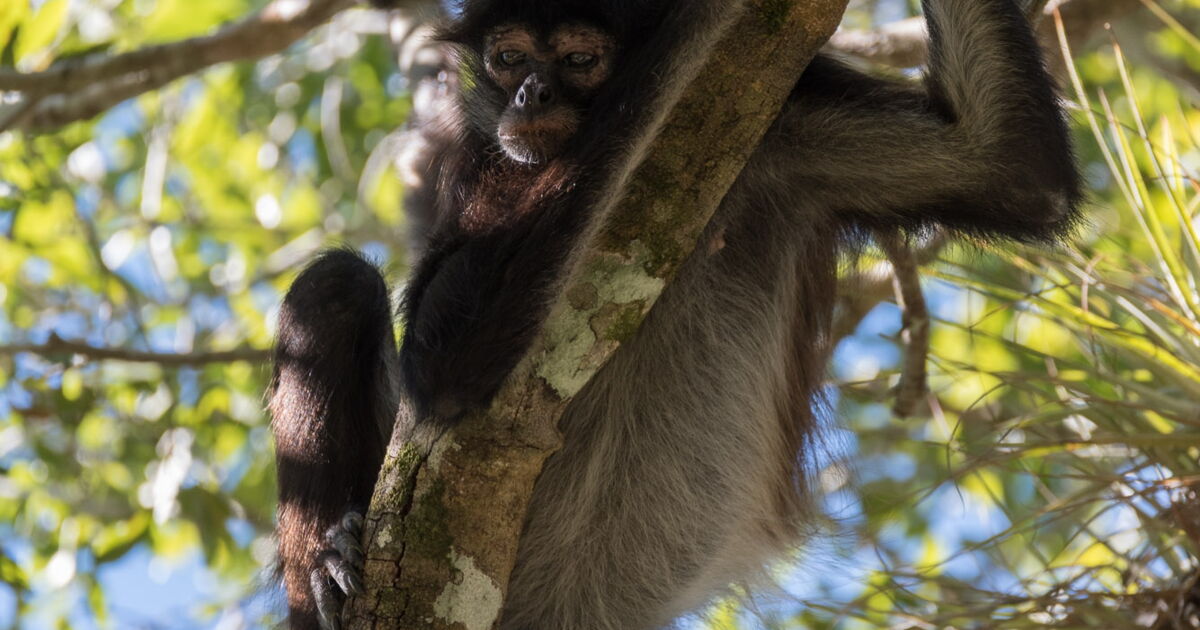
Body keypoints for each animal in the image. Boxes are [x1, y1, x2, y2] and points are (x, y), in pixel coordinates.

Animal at [268, 0, 1082, 628]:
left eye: (579, 58)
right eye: (507, 57)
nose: (530, 95)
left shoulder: (792, 117)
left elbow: (1009, 170)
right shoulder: (485, 158)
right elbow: (444, 374)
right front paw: (700, 15)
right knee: (337, 283)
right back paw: (331, 560)